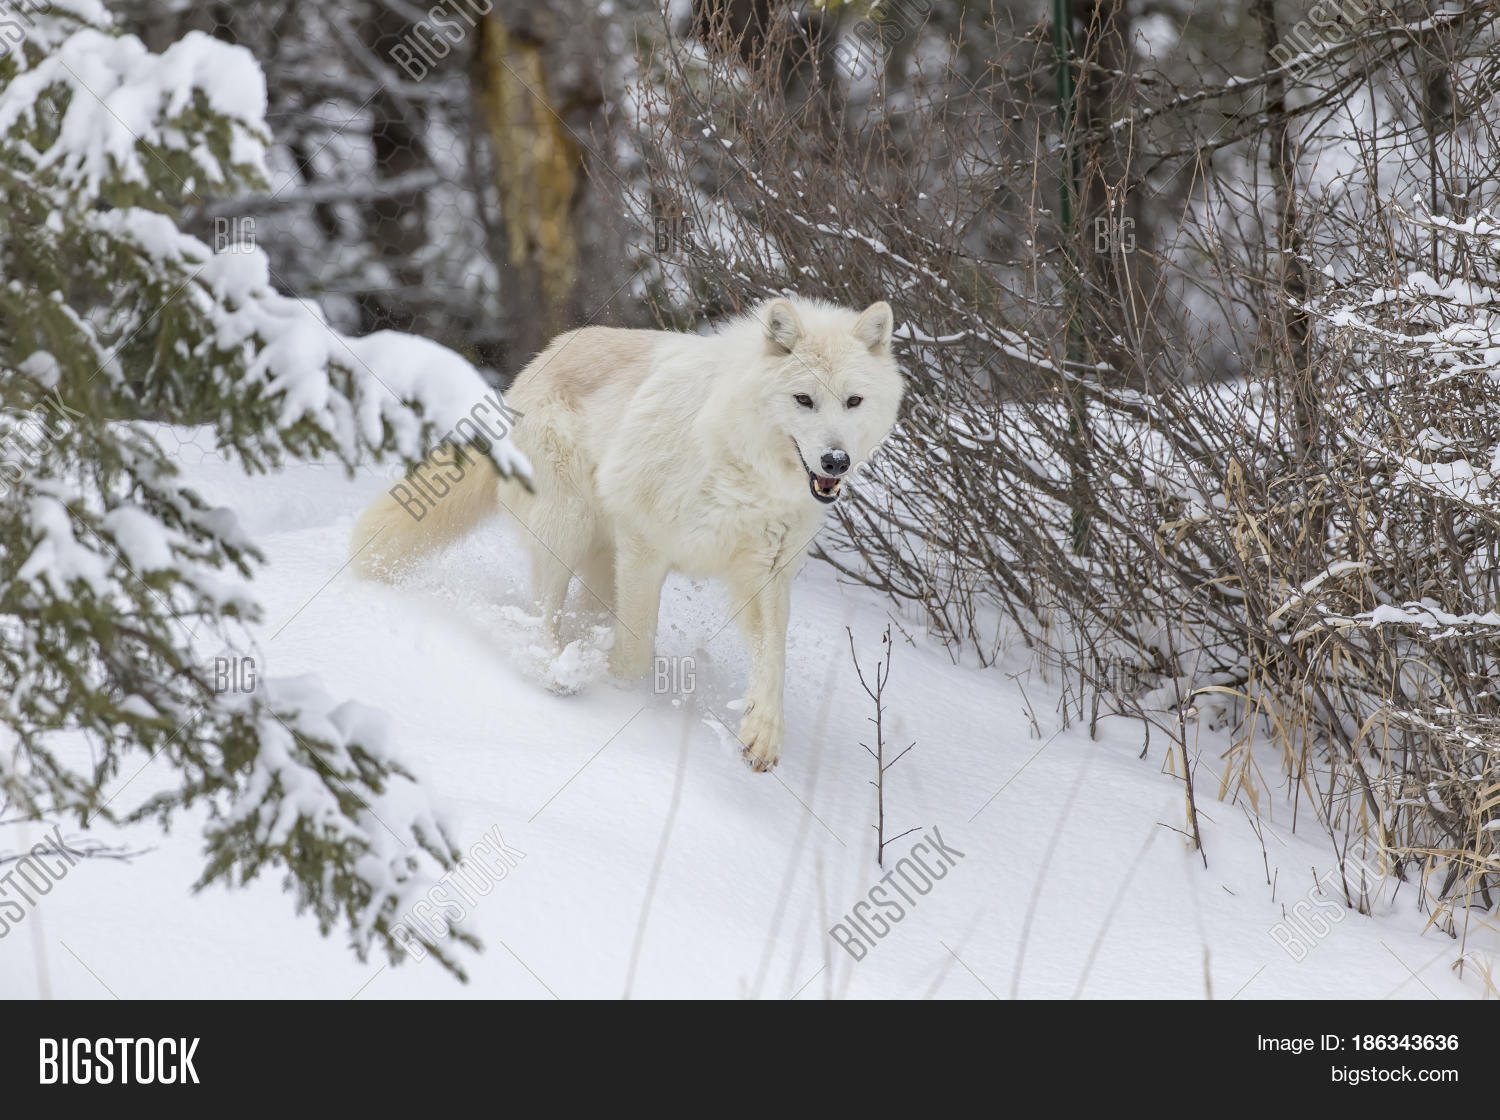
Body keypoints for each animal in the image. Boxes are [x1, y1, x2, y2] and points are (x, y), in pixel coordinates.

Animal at [351, 296, 903, 770]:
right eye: (803, 399)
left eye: (853, 401)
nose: (836, 460)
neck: (742, 467)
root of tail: (527, 373)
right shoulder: (645, 546)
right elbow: (636, 654)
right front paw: (620, 697)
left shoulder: (765, 571)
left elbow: (773, 658)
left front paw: (762, 735)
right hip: (567, 528)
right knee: (544, 615)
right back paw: (555, 672)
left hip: (598, 556)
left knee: (576, 612)